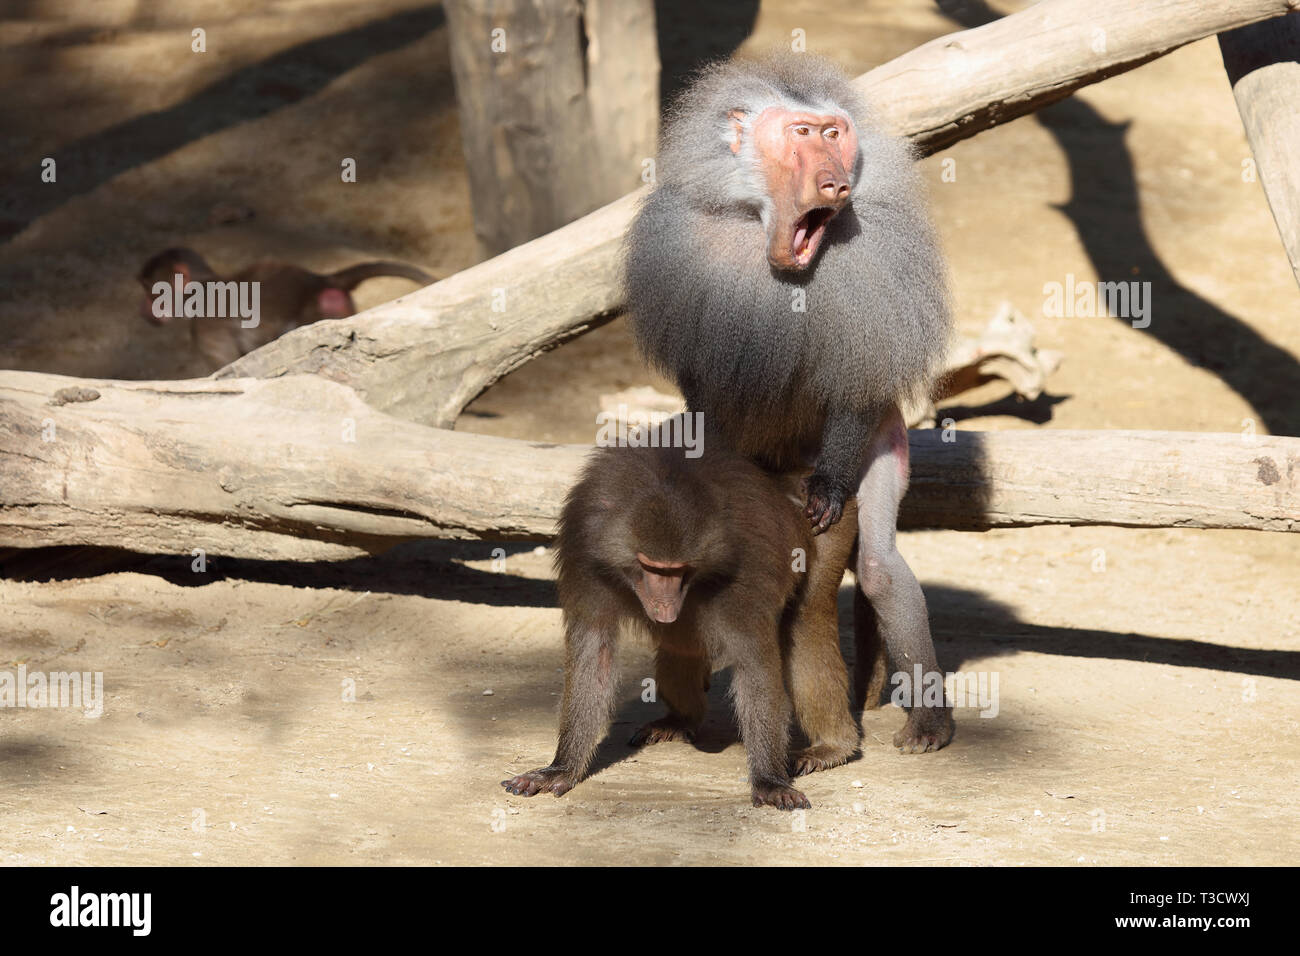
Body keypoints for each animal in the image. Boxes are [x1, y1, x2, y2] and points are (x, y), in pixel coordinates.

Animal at [137, 247, 434, 369]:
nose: (144, 310)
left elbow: (226, 364)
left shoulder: (207, 327)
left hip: (318, 309)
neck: (203, 287)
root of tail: (319, 279)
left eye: (150, 290)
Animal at [501, 429, 860, 809]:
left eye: (679, 570)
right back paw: (681, 720)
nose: (665, 608)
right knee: (681, 639)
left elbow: (755, 662)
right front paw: (561, 768)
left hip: (827, 521)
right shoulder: (585, 554)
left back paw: (831, 746)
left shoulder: (745, 570)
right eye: (651, 567)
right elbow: (594, 653)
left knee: (806, 620)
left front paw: (769, 781)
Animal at [624, 52, 954, 753]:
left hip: (881, 444)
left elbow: (858, 379)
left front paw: (827, 491)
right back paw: (677, 720)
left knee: (880, 569)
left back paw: (928, 722)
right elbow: (702, 385)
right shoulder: (678, 244)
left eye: (835, 134)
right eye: (801, 134)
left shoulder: (877, 261)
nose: (835, 185)